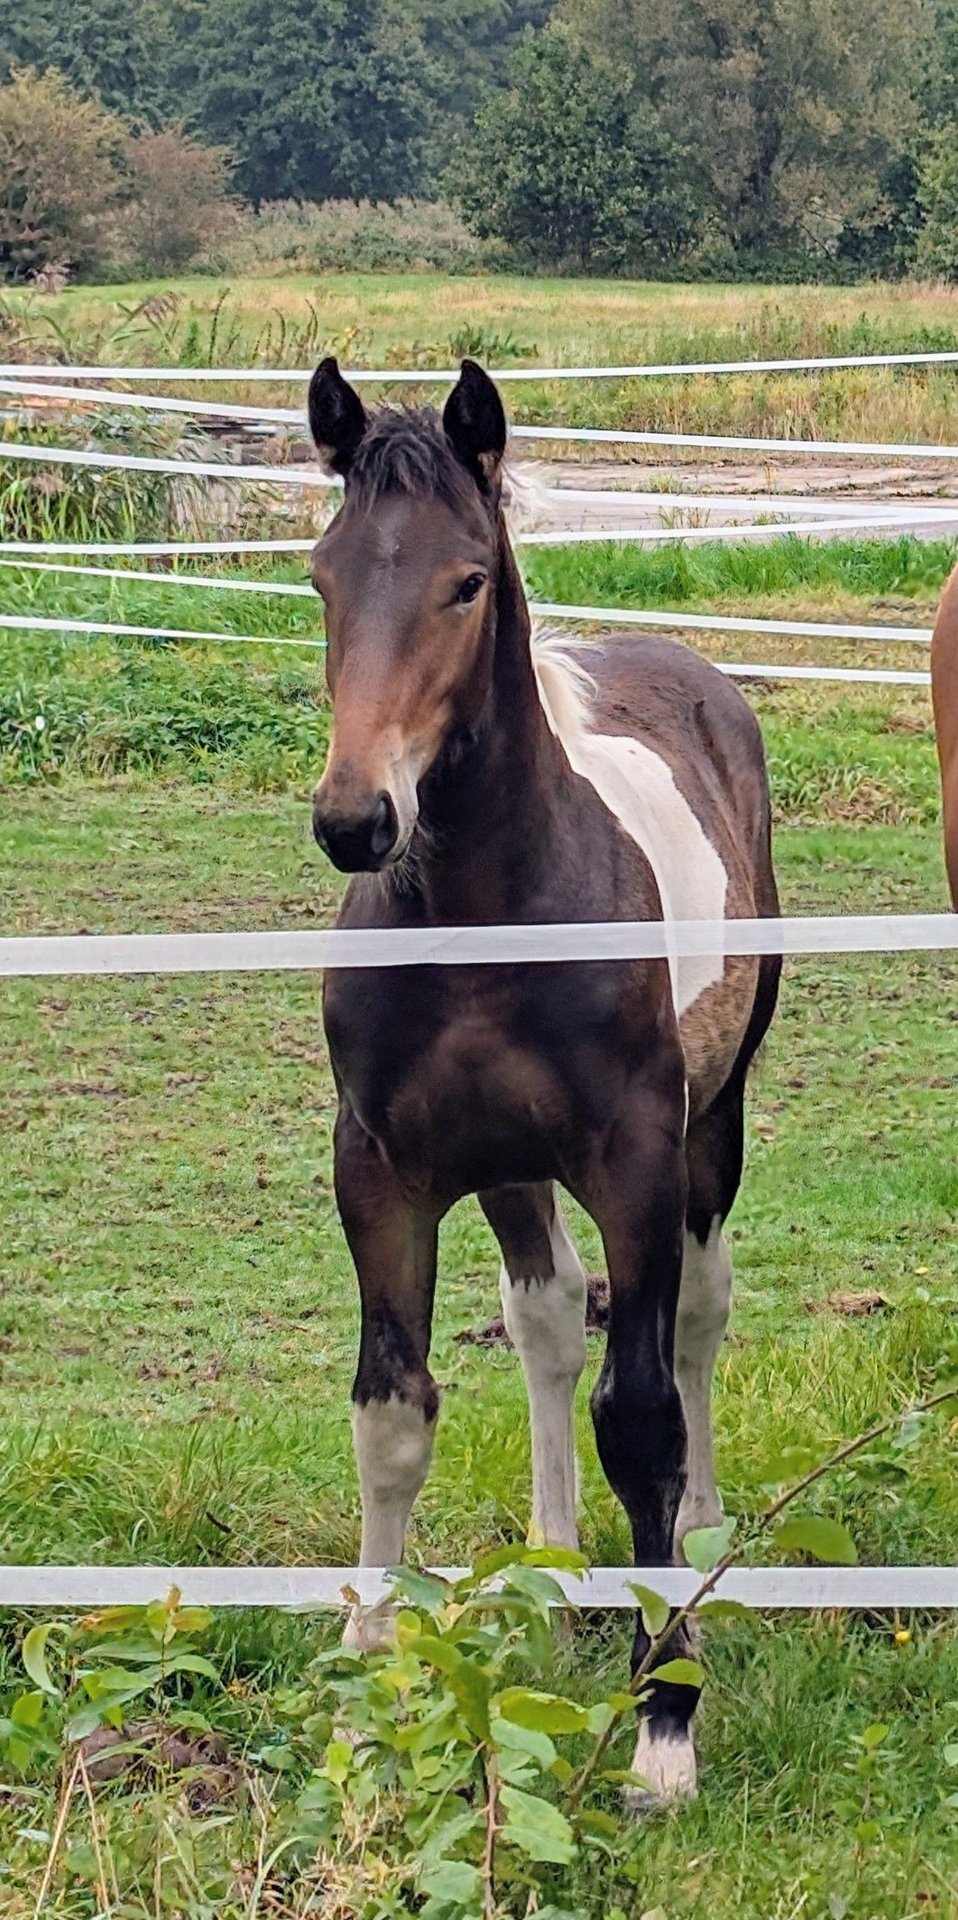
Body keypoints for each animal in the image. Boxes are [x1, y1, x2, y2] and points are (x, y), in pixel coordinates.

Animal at [307, 356, 781, 1802]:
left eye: (465, 582)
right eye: (321, 575)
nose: (355, 819)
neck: (484, 912)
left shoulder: (631, 1157)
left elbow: (642, 1412)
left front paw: (667, 1721)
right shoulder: (382, 1171)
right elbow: (394, 1409)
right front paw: (365, 1676)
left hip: (710, 1129)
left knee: (694, 1324)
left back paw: (700, 1530)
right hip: (510, 1167)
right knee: (551, 1318)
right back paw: (557, 1561)